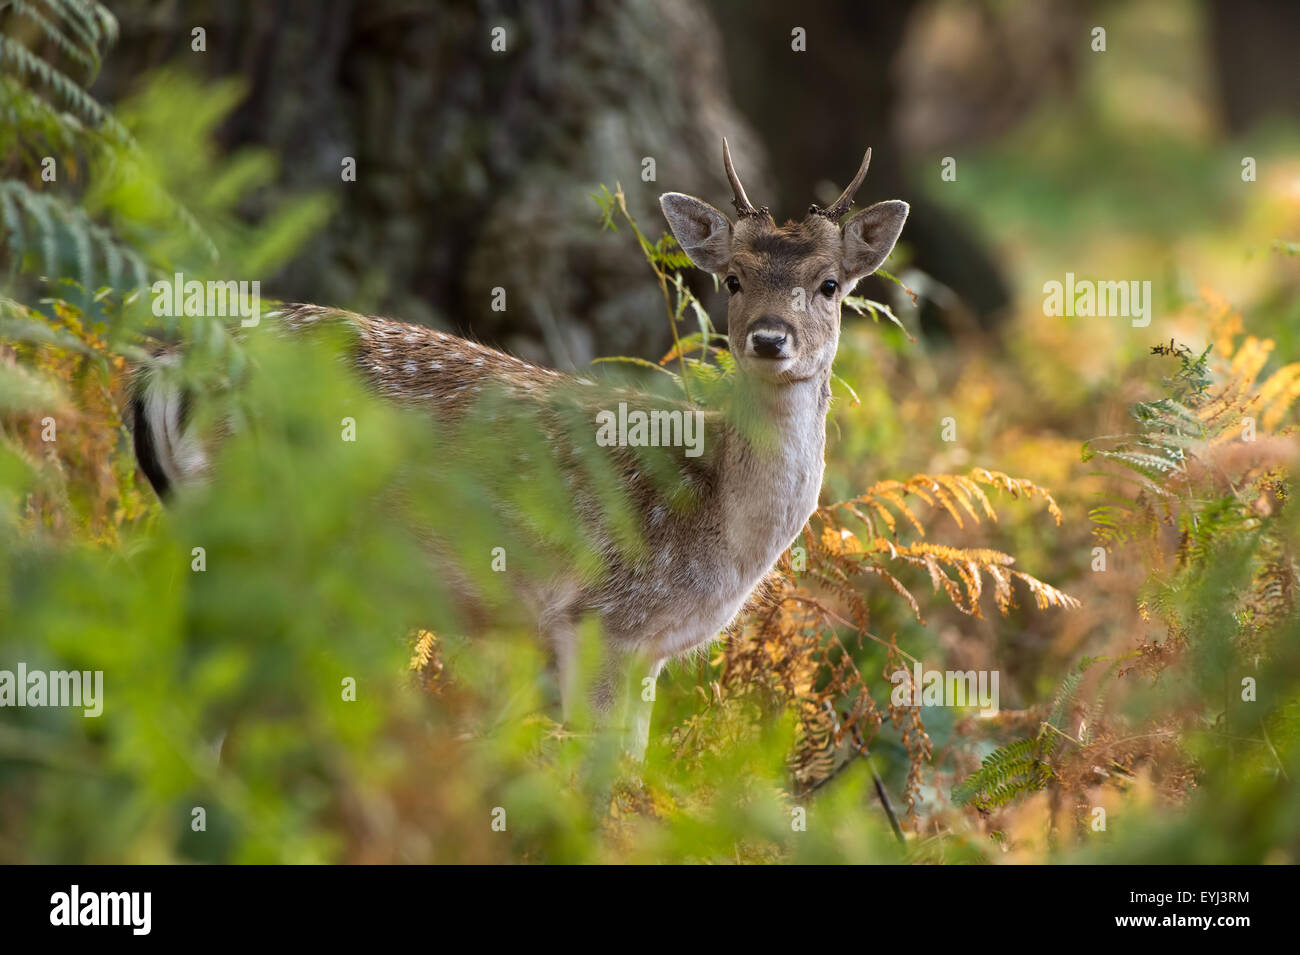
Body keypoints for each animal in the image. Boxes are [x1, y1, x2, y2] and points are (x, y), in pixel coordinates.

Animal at [129, 140, 909, 760]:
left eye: (830, 285)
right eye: (733, 278)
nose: (770, 339)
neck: (726, 532)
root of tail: (165, 365)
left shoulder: (649, 651)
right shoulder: (599, 614)